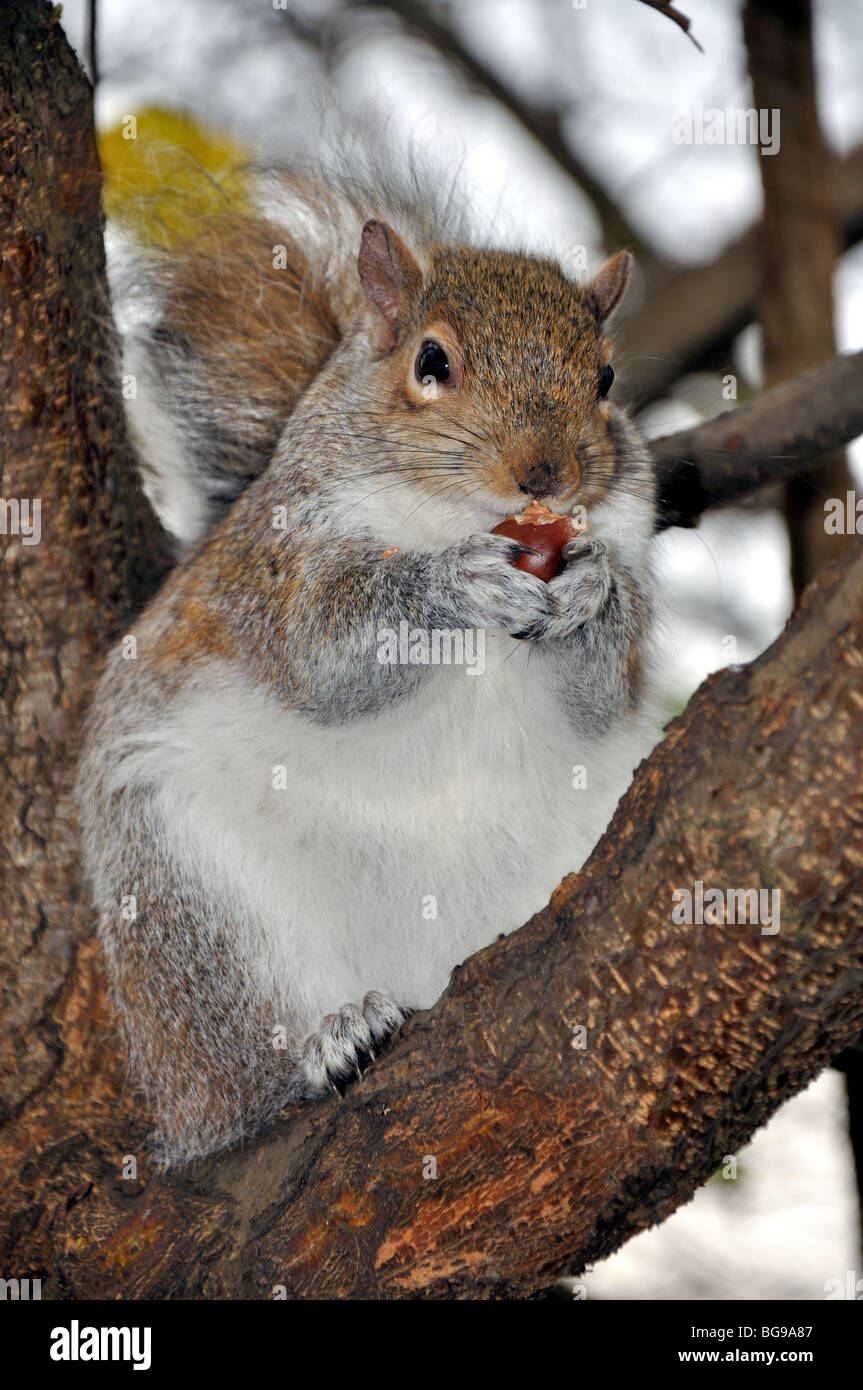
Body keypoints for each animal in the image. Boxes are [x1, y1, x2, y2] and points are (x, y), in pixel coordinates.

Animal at [78, 167, 660, 1166]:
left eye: (605, 378)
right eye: (431, 363)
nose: (544, 476)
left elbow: (595, 695)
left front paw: (589, 593)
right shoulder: (284, 570)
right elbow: (327, 658)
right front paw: (453, 581)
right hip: (191, 909)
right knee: (242, 1077)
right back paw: (330, 1040)